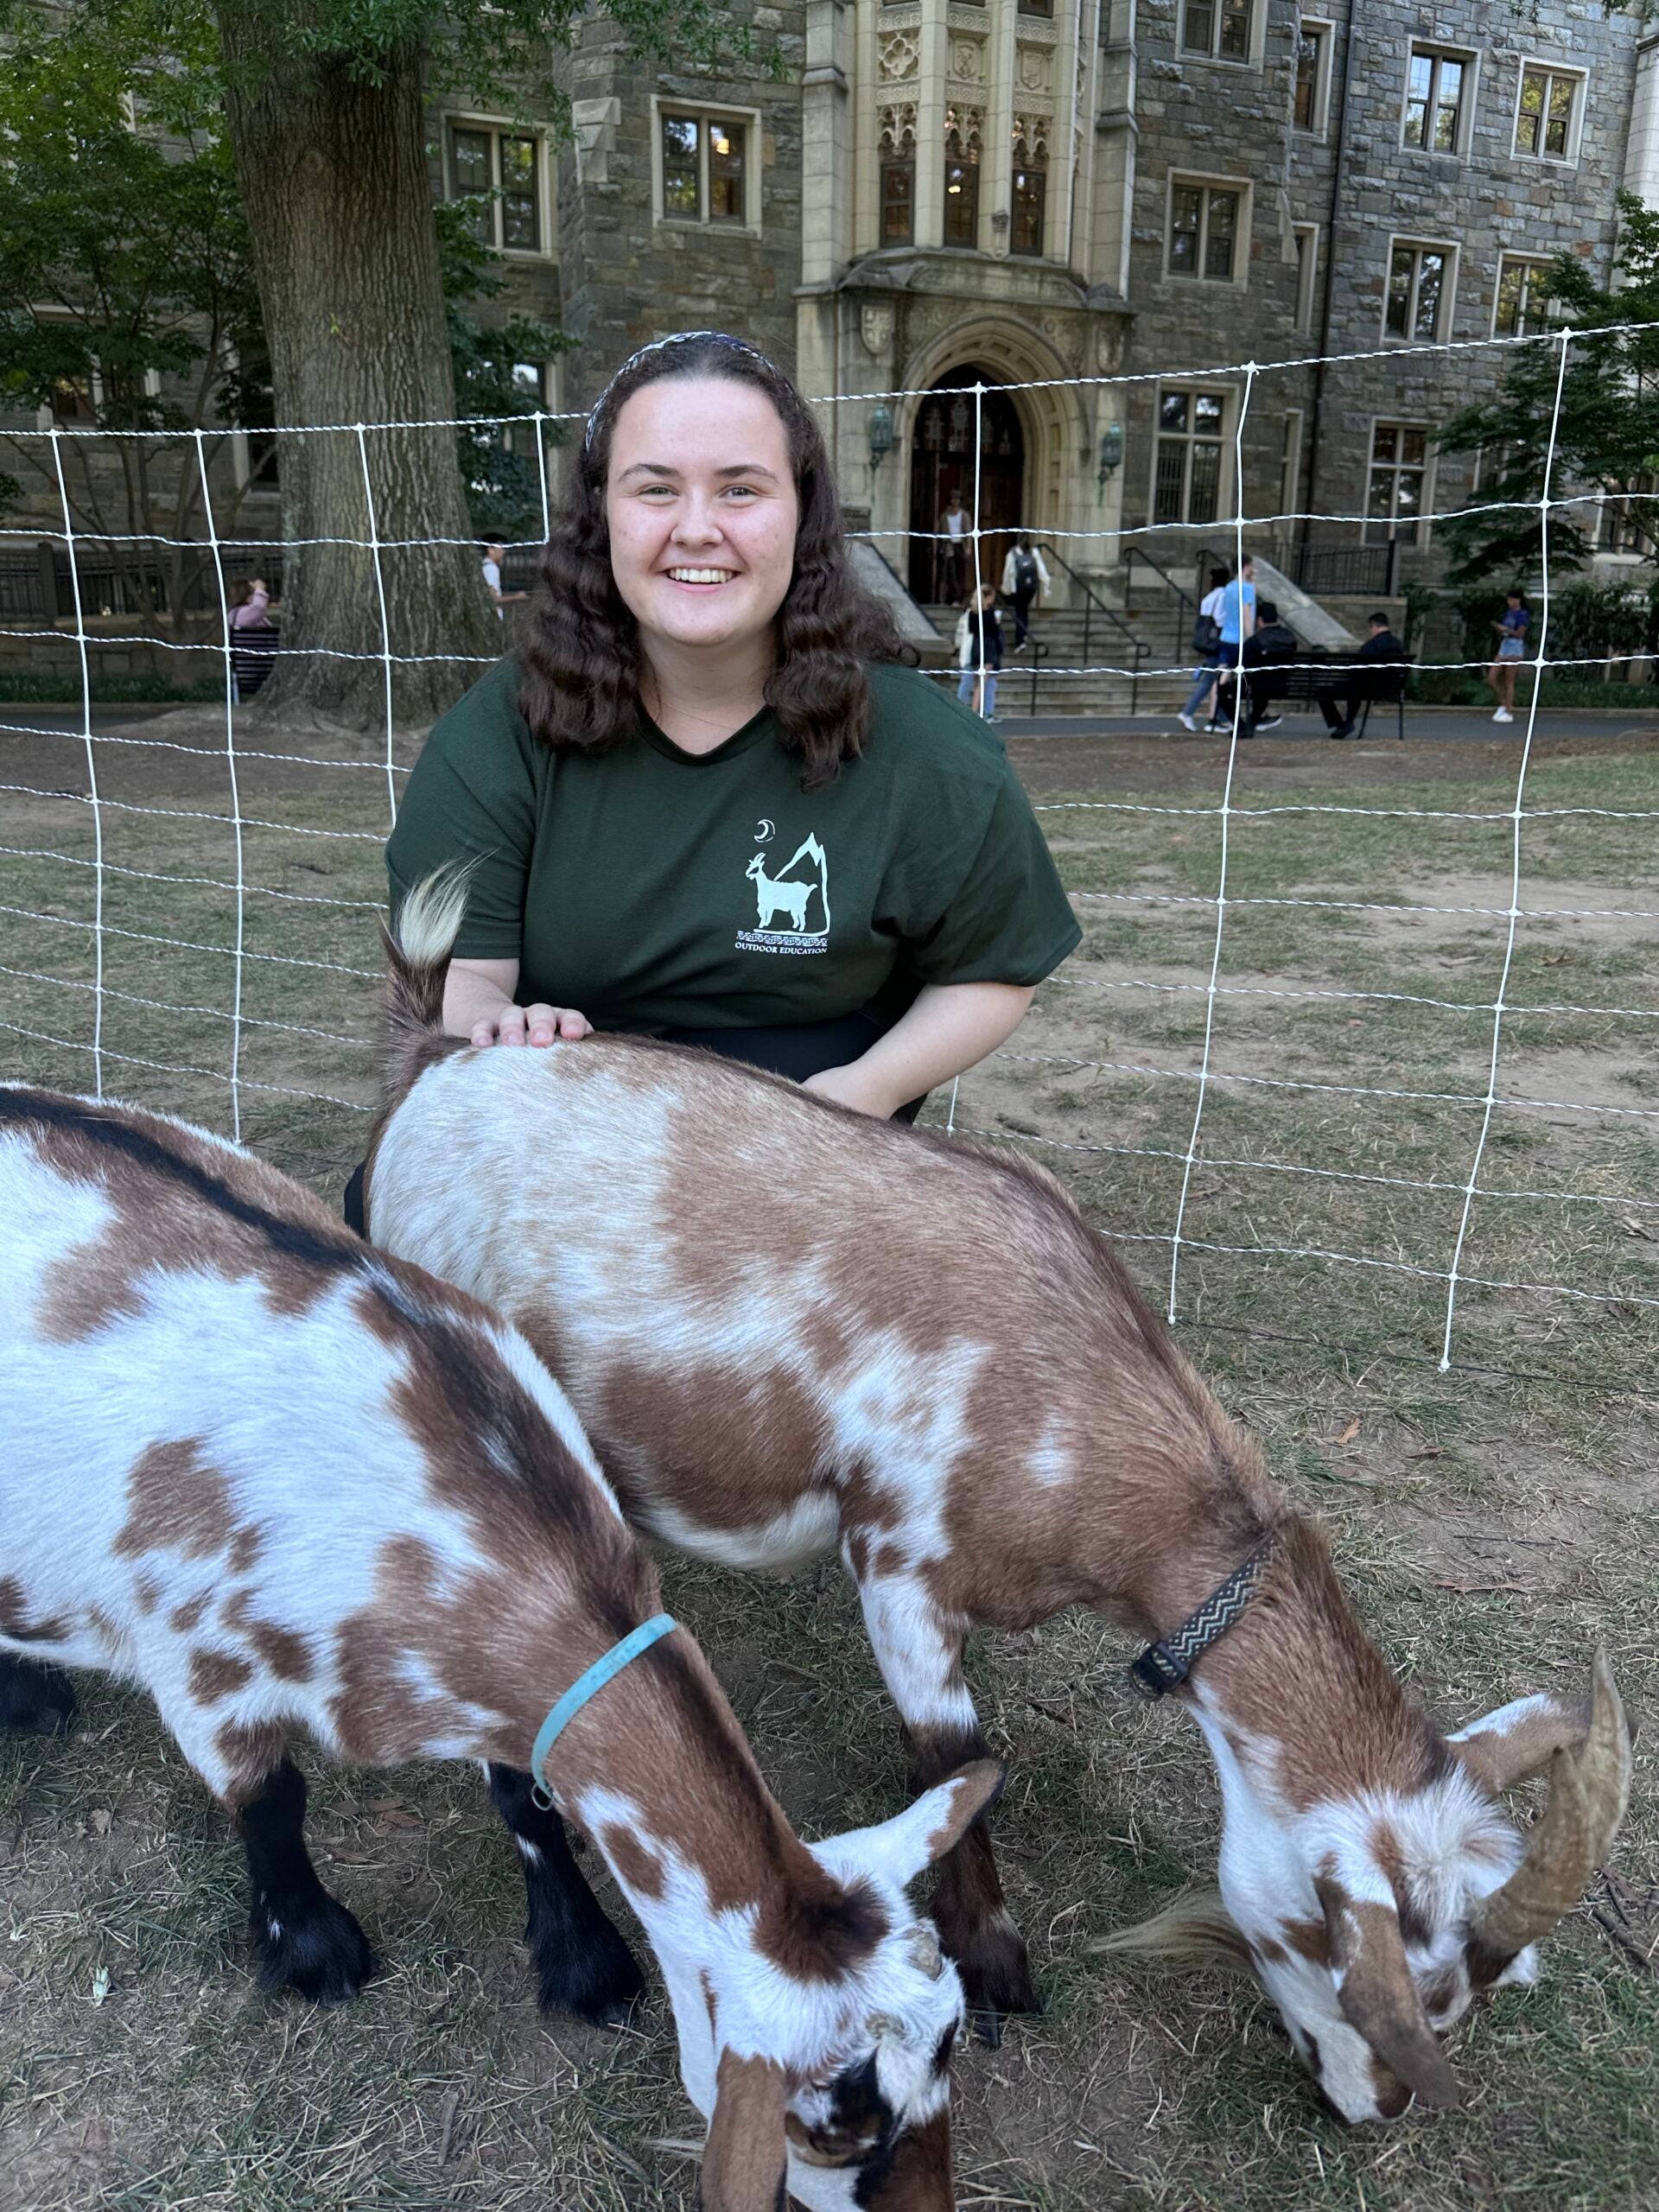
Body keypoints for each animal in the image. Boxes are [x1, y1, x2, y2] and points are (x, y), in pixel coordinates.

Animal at [0, 1082, 1001, 2212]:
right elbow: (269, 1802)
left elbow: (526, 1795)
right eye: (835, 2116)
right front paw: (315, 1952)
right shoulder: (200, 1665)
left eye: (952, 2036)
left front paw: (581, 1958)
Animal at [359, 873, 1635, 2124]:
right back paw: (576, 1955)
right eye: (1388, 1984)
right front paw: (997, 1970)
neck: (1072, 1398)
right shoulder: (899, 1565)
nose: (1372, 2112)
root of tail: (436, 1056)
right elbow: (961, 1766)